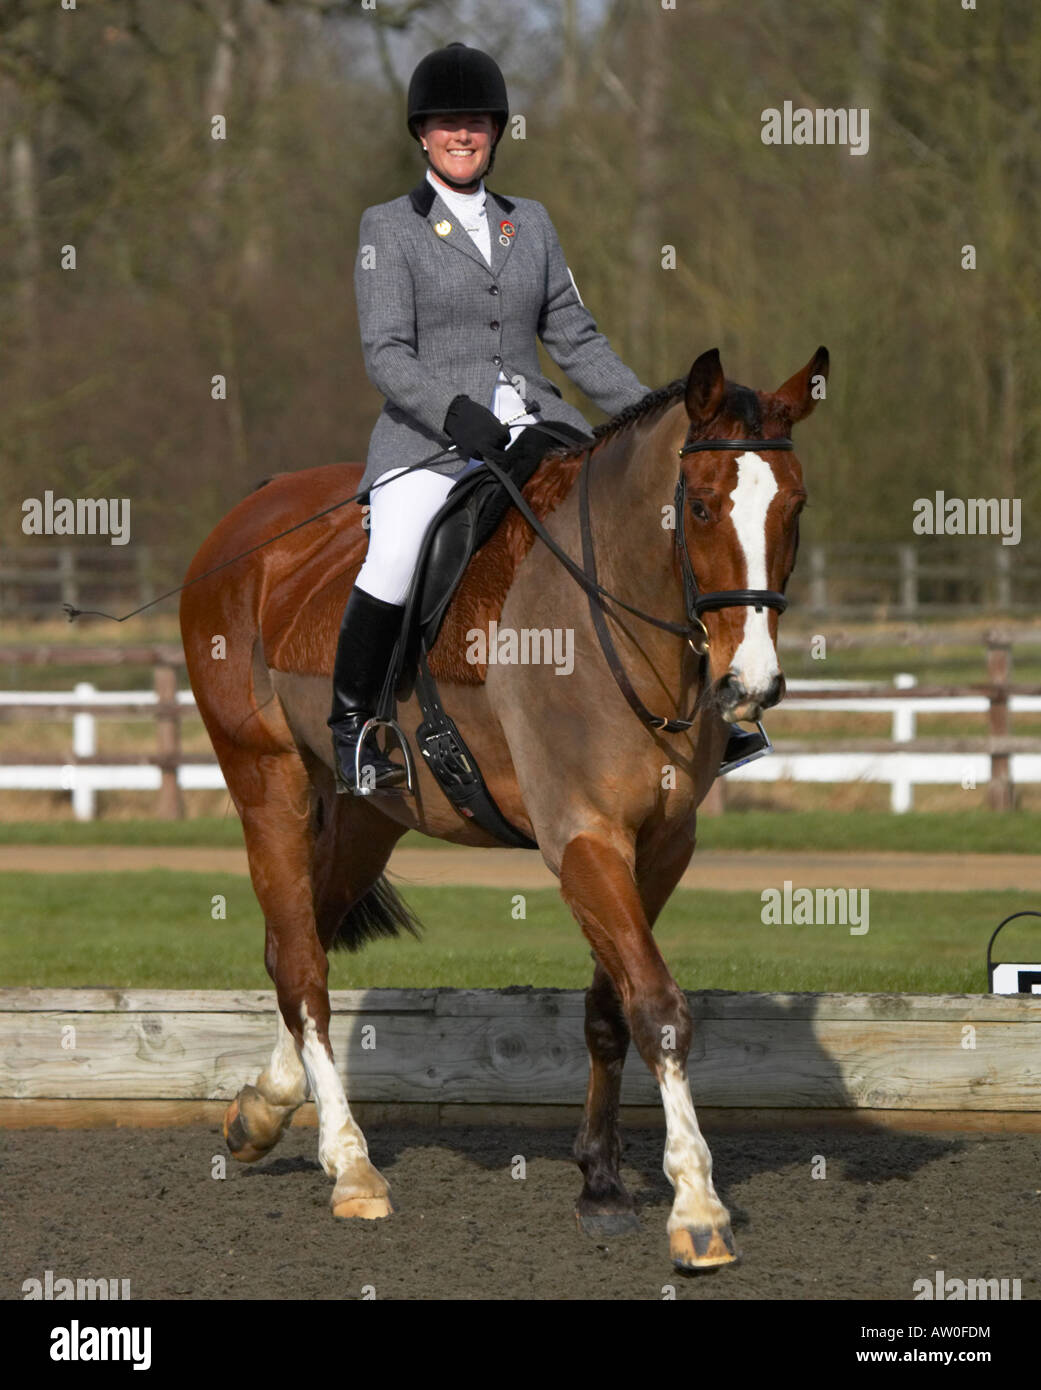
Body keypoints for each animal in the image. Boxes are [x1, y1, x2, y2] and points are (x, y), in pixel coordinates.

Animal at [179, 344, 827, 1270]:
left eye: (793, 507)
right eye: (700, 505)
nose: (752, 686)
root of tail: (252, 515)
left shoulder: (658, 845)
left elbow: (610, 1009)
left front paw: (600, 1183)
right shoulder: (582, 838)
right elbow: (658, 1008)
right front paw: (695, 1206)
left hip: (370, 813)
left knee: (293, 942)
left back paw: (263, 1111)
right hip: (265, 778)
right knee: (302, 970)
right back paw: (352, 1166)